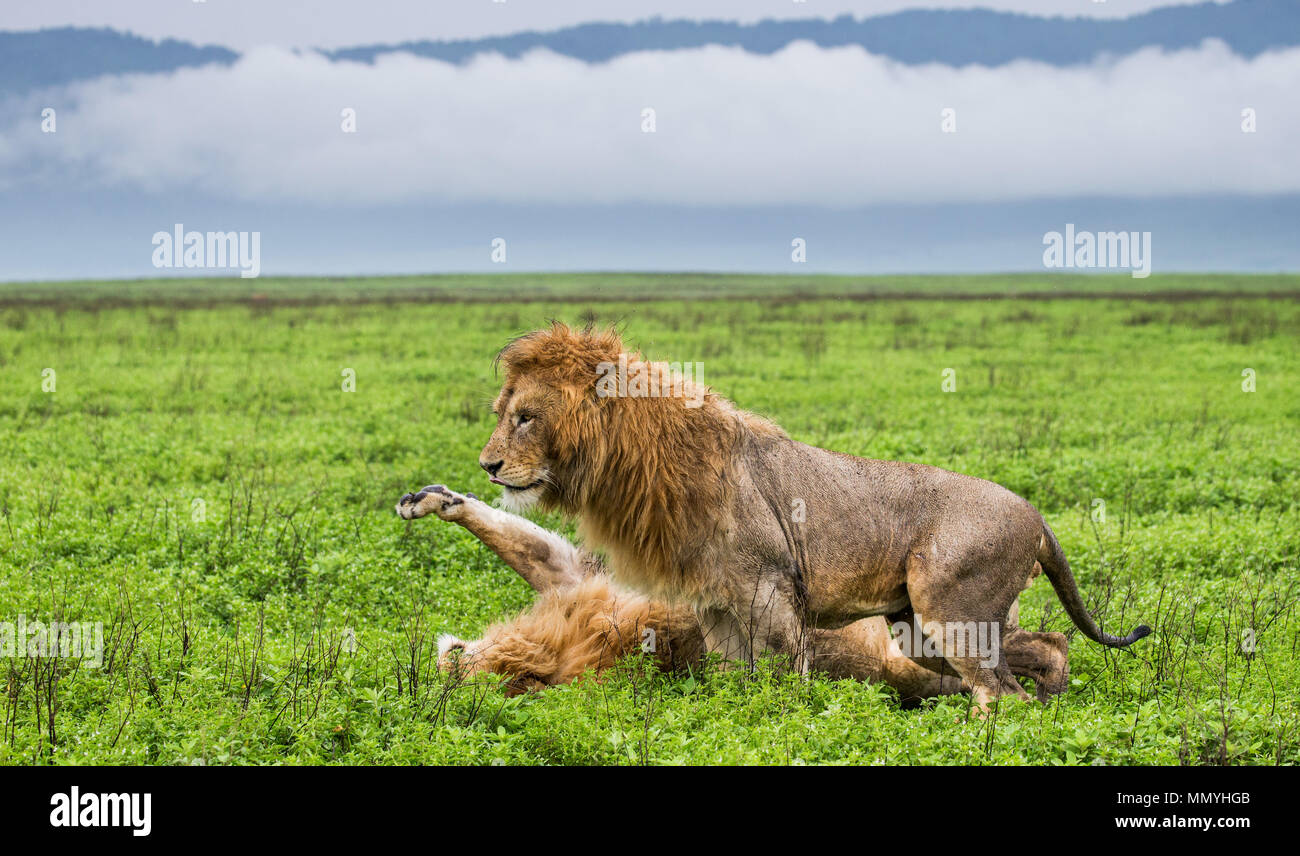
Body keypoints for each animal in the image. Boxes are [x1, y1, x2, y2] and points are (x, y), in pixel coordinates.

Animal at [396, 484, 1068, 703]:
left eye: (454, 674)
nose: (441, 657)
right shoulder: (580, 586)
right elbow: (520, 541)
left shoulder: (585, 580)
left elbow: (516, 538)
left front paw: (434, 500)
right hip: (915, 648)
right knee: (1040, 645)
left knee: (1031, 646)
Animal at [471, 323, 1147, 710]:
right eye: (503, 412)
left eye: (525, 417)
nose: (486, 465)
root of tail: (1036, 515)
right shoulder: (718, 607)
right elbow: (734, 686)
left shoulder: (772, 589)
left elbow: (785, 685)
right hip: (916, 634)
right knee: (1044, 650)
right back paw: (1053, 702)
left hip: (951, 612)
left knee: (1001, 693)